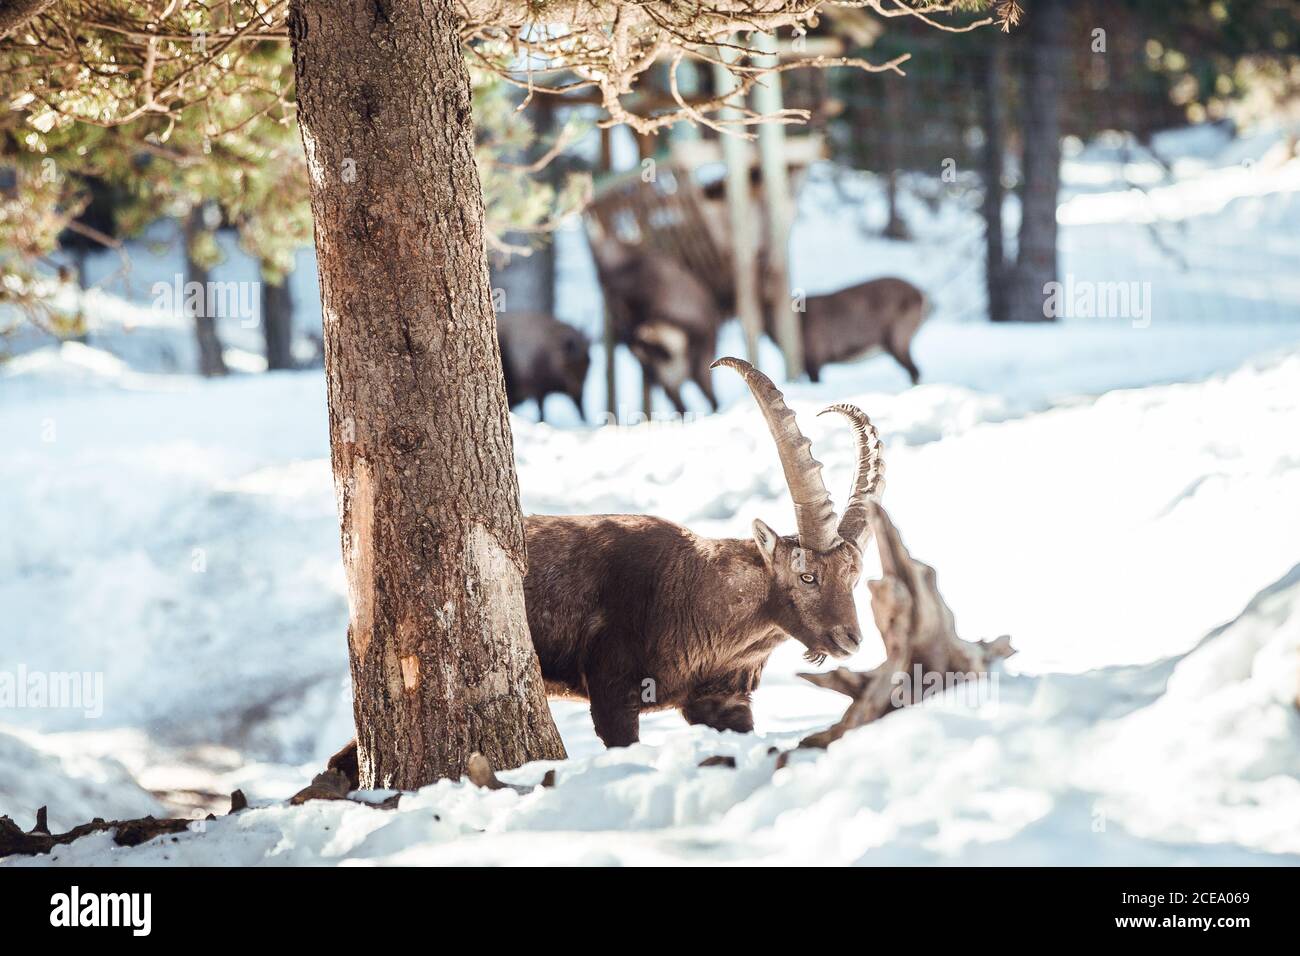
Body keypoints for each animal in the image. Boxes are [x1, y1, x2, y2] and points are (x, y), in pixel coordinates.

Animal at [524, 357, 885, 746]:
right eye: (807, 576)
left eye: (854, 579)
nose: (850, 640)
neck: (692, 593)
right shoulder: (612, 691)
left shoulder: (721, 699)